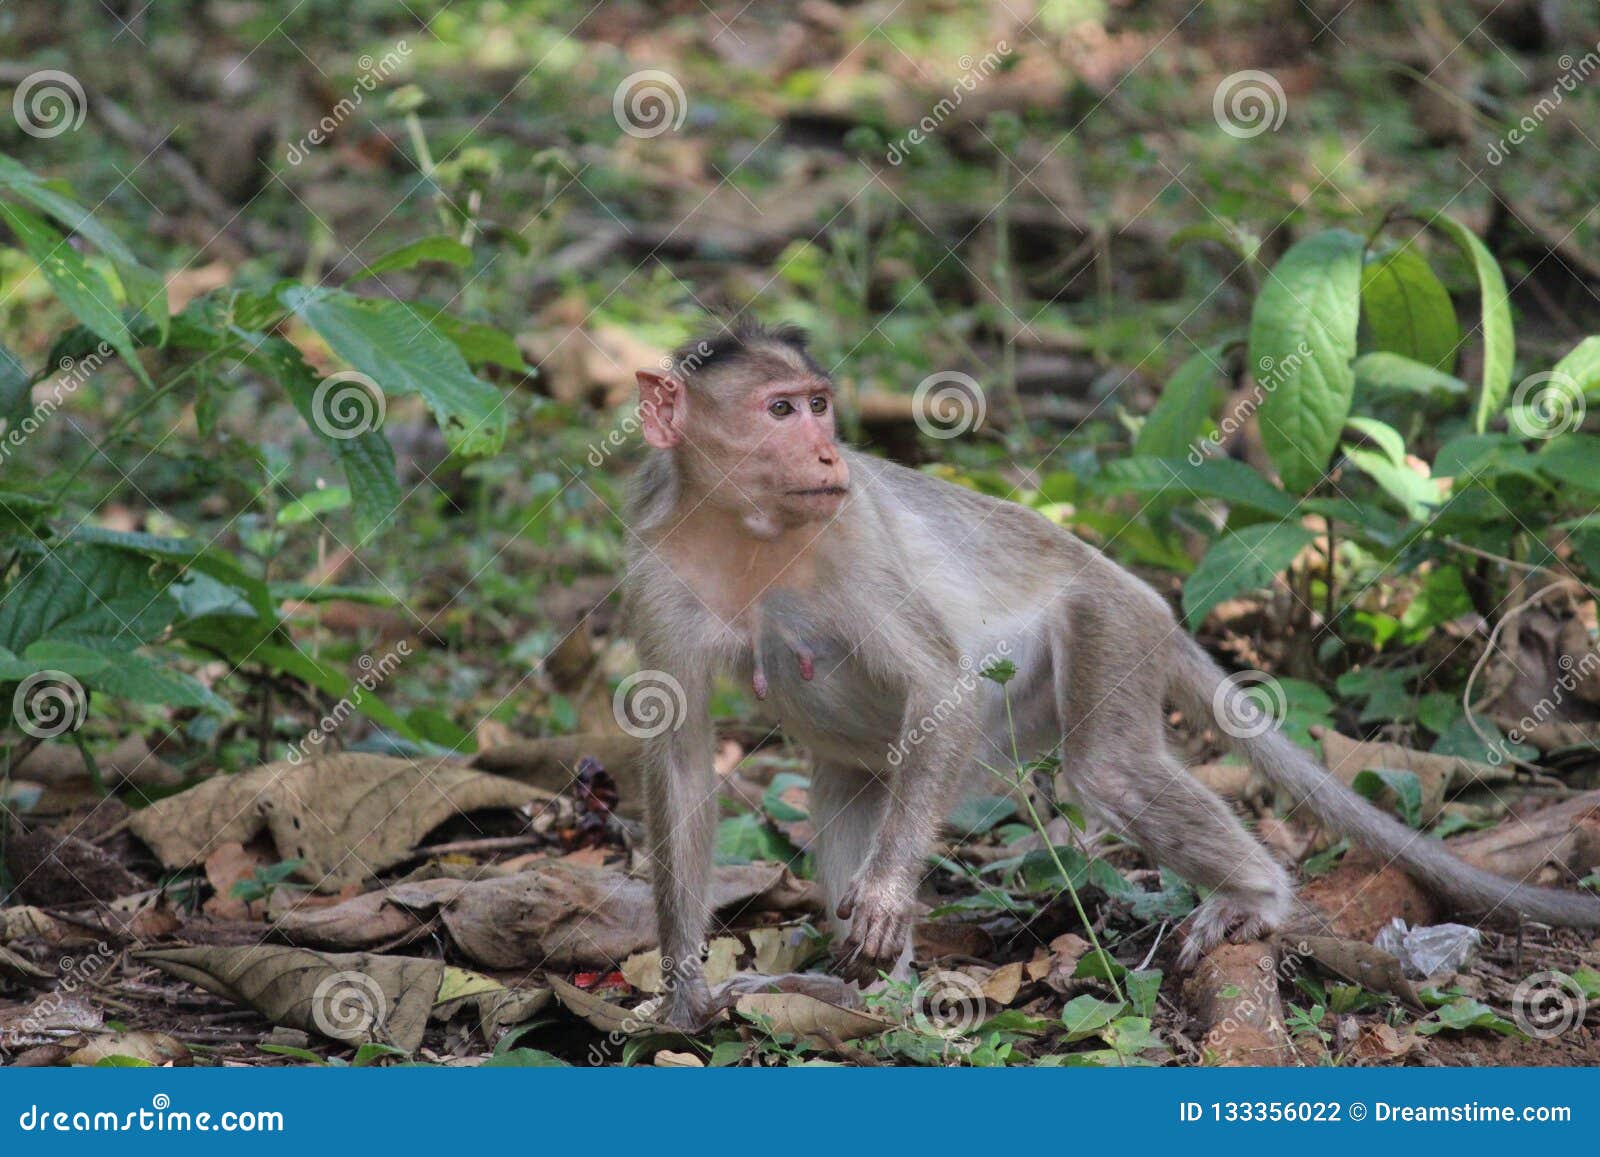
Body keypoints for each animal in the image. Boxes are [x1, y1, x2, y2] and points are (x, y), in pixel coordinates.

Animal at [621, 321, 1600, 1030]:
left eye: (819, 406)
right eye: (780, 409)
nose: (827, 454)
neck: (746, 530)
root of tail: (1135, 586)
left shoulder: (848, 530)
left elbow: (940, 685)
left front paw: (887, 899)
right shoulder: (656, 571)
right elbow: (682, 761)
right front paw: (682, 990)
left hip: (1111, 622)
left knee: (1107, 768)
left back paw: (1256, 895)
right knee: (848, 788)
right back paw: (867, 999)